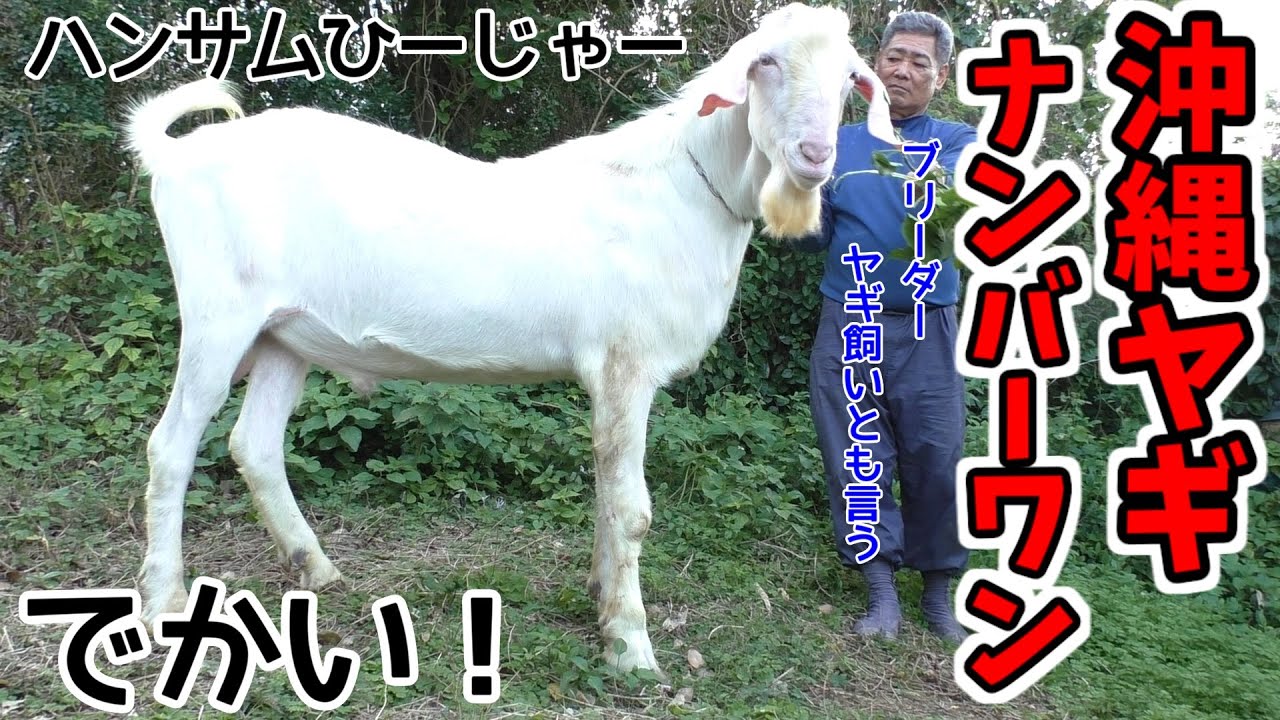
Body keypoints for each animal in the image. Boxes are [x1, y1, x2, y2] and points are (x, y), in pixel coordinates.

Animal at [124, 2, 899, 675]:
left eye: (848, 79)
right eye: (765, 62)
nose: (814, 154)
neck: (681, 191)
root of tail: (175, 158)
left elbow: (603, 487)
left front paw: (601, 598)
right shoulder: (626, 363)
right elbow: (632, 509)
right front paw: (631, 647)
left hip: (287, 334)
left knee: (253, 444)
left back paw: (315, 566)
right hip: (219, 317)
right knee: (171, 447)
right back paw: (163, 601)